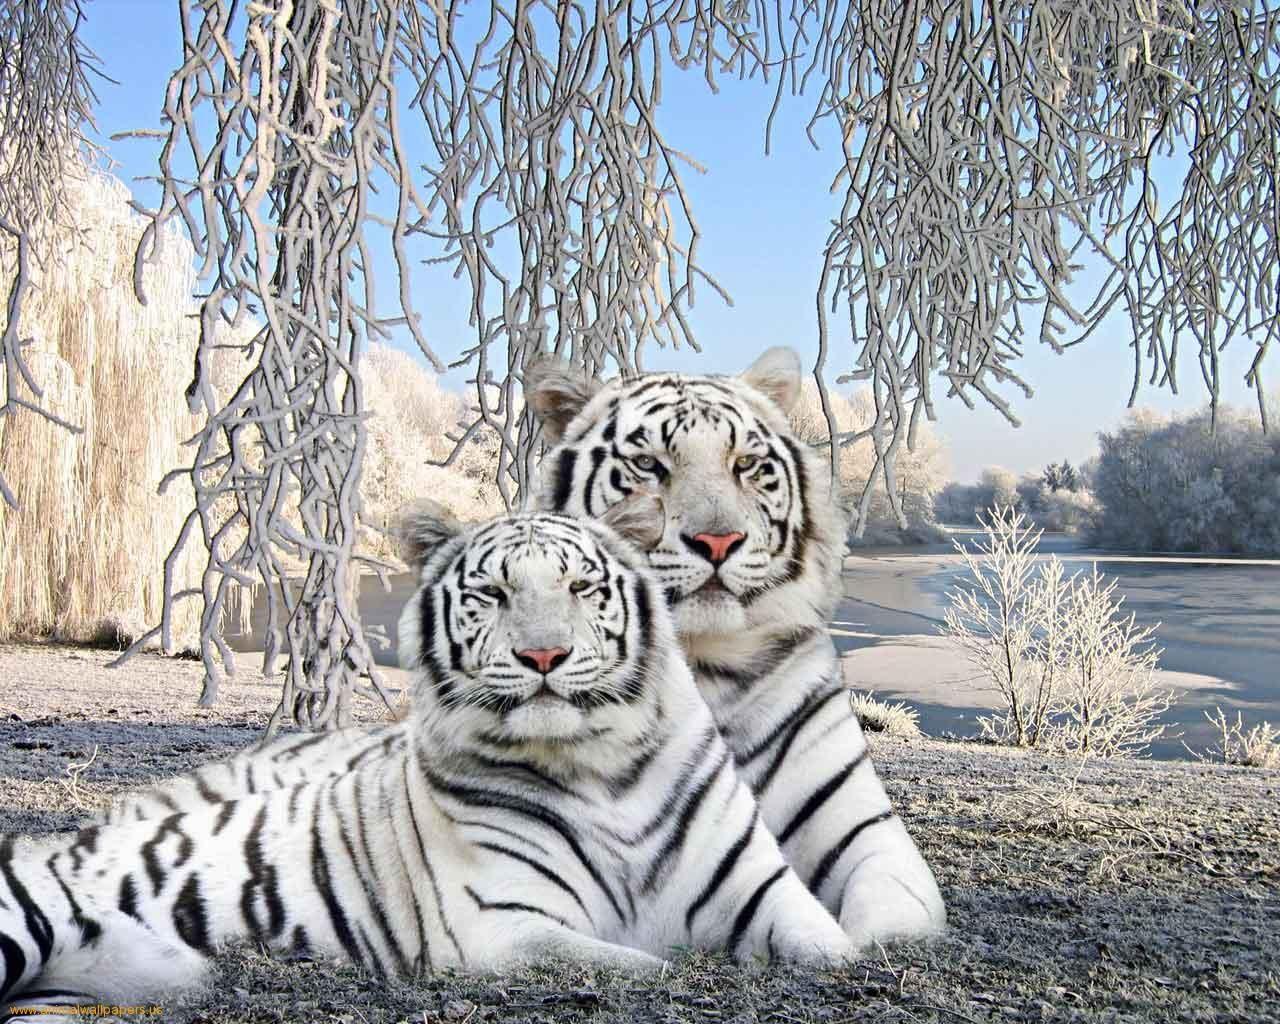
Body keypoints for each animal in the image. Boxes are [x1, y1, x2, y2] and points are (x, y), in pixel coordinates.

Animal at [1, 501, 855, 1019]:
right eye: (493, 594)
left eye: (582, 586)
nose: (544, 655)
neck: (602, 768)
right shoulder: (504, 927)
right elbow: (647, 962)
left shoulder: (762, 891)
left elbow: (834, 948)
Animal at [523, 345, 947, 948]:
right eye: (649, 465)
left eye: (744, 464)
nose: (718, 541)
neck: (706, 661)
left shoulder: (860, 823)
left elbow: (892, 911)